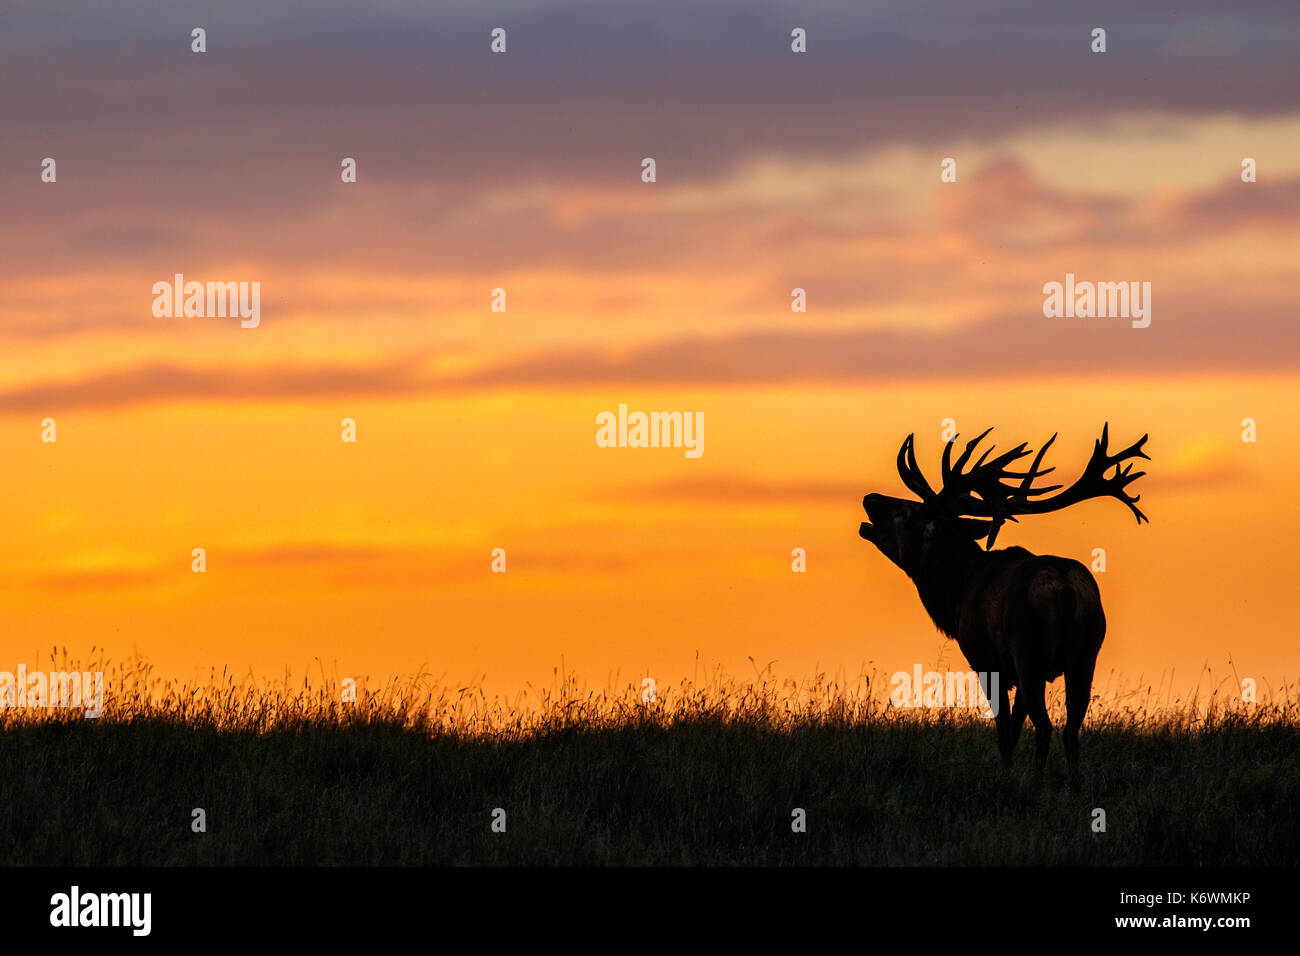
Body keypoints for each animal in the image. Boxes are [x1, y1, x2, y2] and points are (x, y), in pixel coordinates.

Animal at [858, 424, 1149, 776]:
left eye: (905, 512)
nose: (870, 497)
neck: (955, 593)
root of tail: (1066, 588)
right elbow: (1015, 729)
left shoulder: (986, 661)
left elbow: (1005, 733)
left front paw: (1007, 775)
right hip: (1085, 655)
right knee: (1071, 730)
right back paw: (1073, 784)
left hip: (1028, 651)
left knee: (1046, 727)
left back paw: (1034, 786)